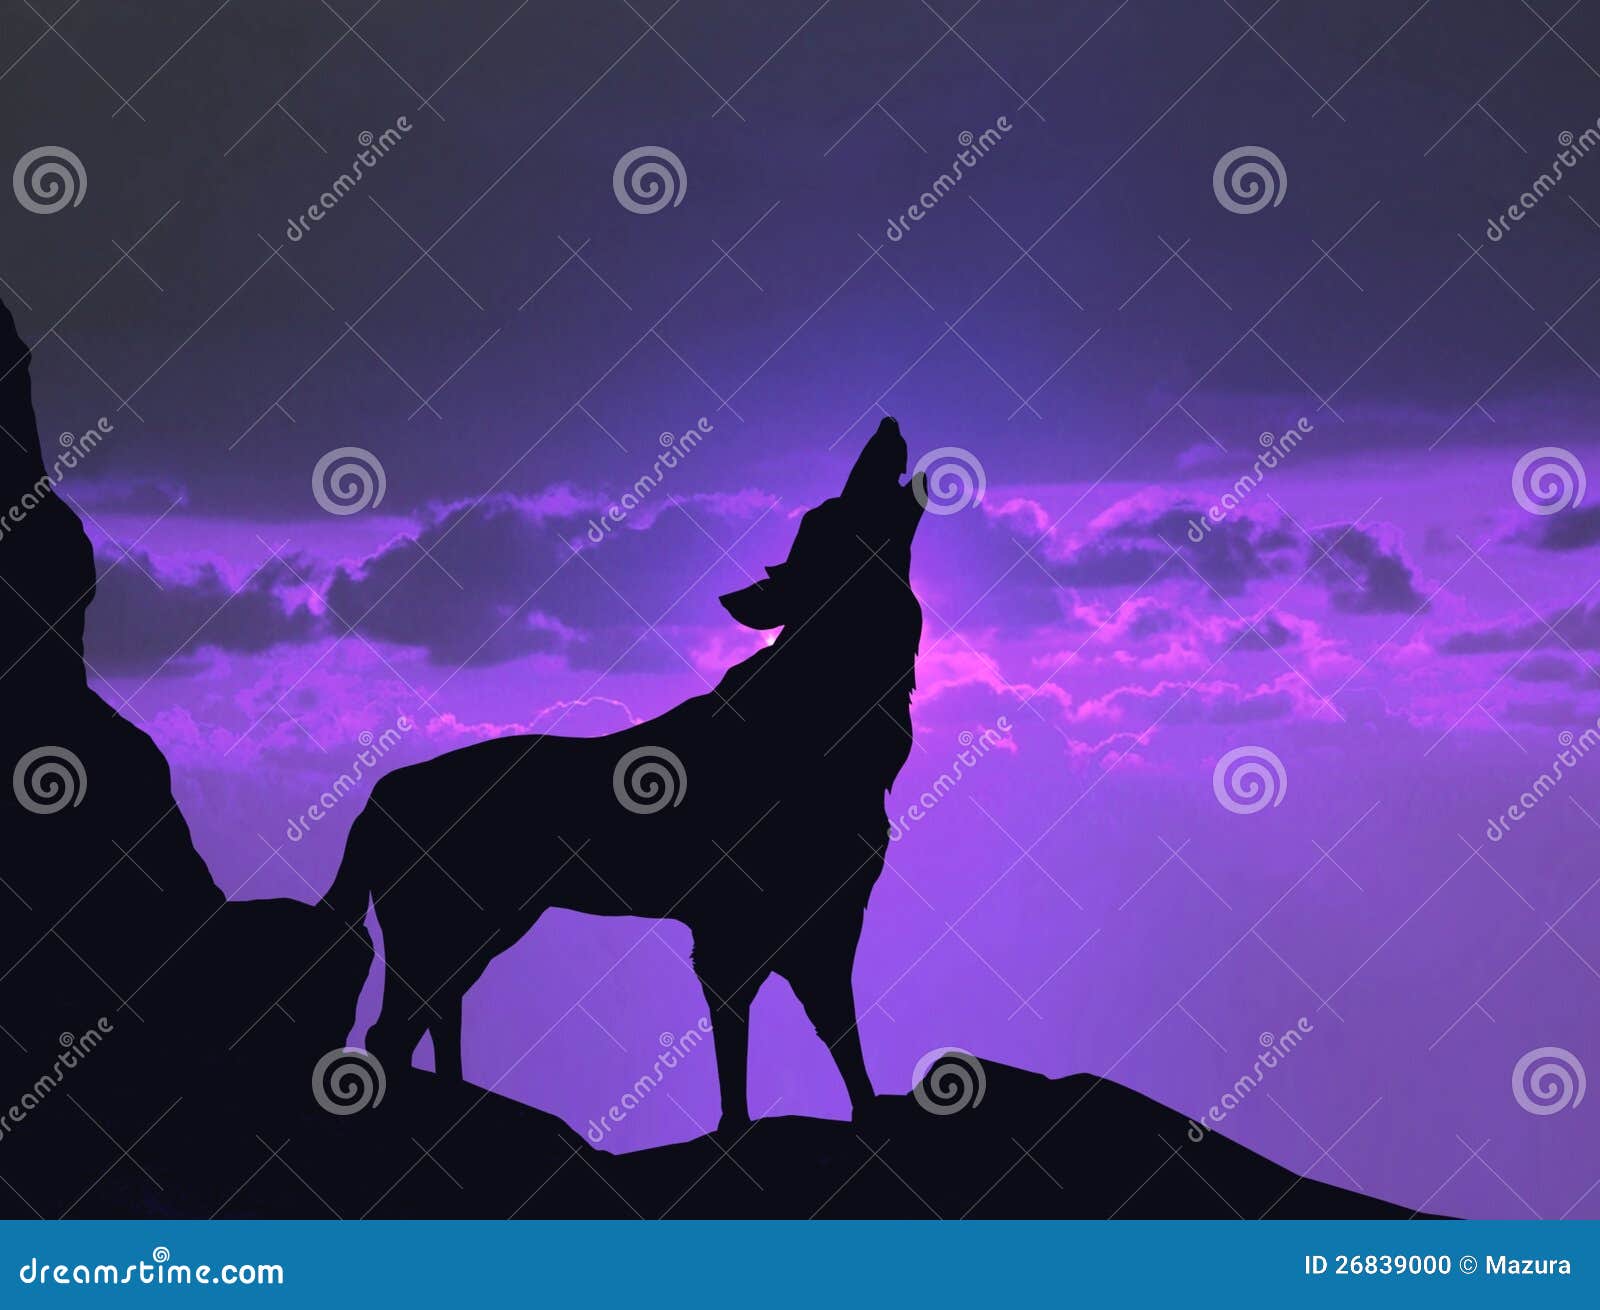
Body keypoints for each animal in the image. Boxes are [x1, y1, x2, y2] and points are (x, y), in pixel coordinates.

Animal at [324, 417, 927, 1130]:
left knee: (430, 1024)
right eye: (832, 513)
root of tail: (371, 802)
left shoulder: (828, 920)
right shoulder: (732, 934)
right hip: (444, 930)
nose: (885, 425)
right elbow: (741, 1059)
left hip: (482, 930)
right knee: (386, 1036)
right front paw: (736, 1129)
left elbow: (842, 1041)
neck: (838, 727)